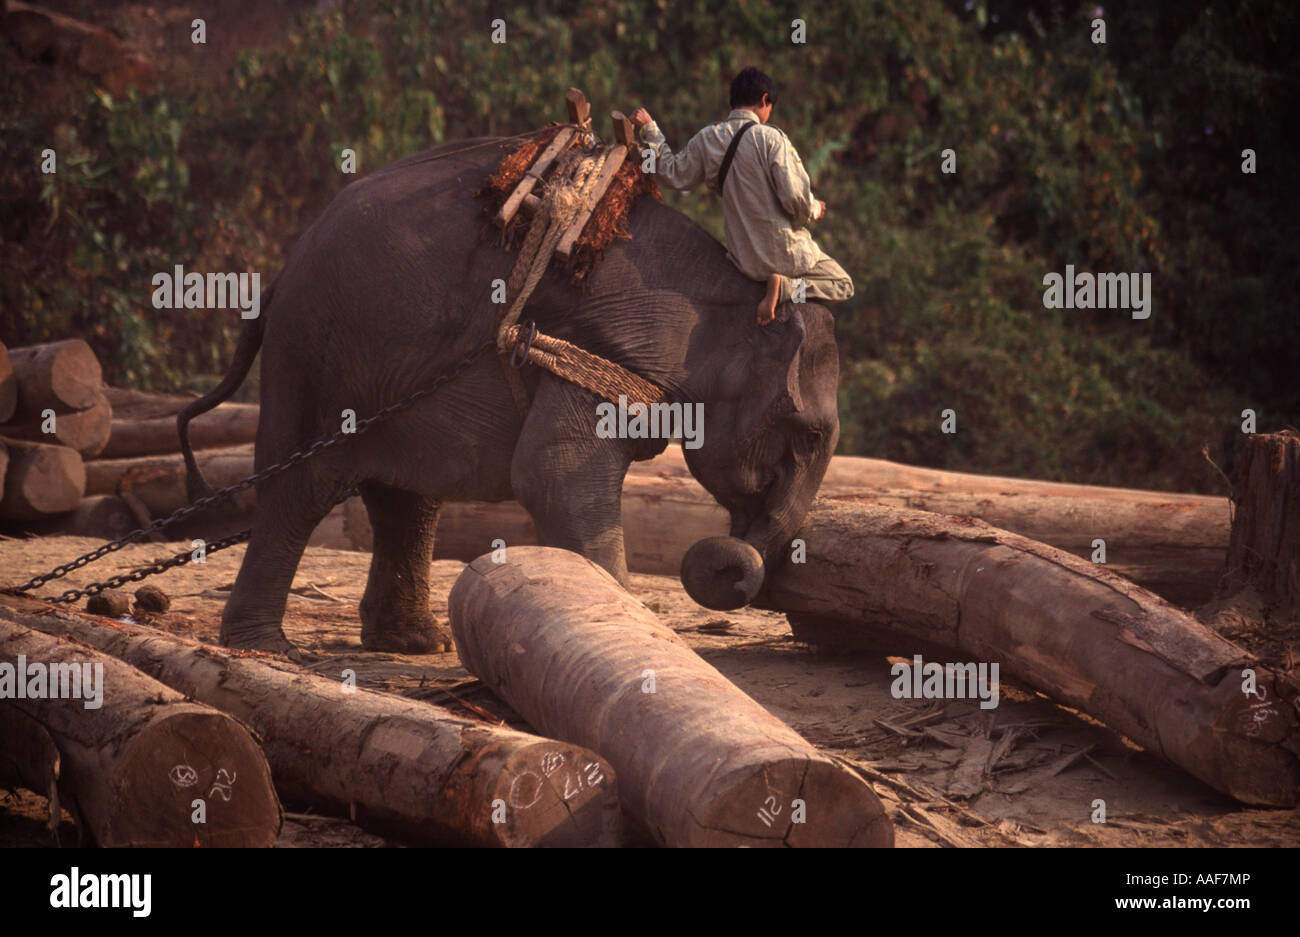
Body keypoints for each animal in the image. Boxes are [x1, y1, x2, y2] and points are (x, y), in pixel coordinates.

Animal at [179, 136, 841, 656]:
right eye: (809, 435)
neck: (736, 294)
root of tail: (278, 279)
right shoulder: (596, 349)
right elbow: (551, 476)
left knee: (406, 499)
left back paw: (417, 644)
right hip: (316, 357)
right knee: (300, 491)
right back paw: (267, 647)